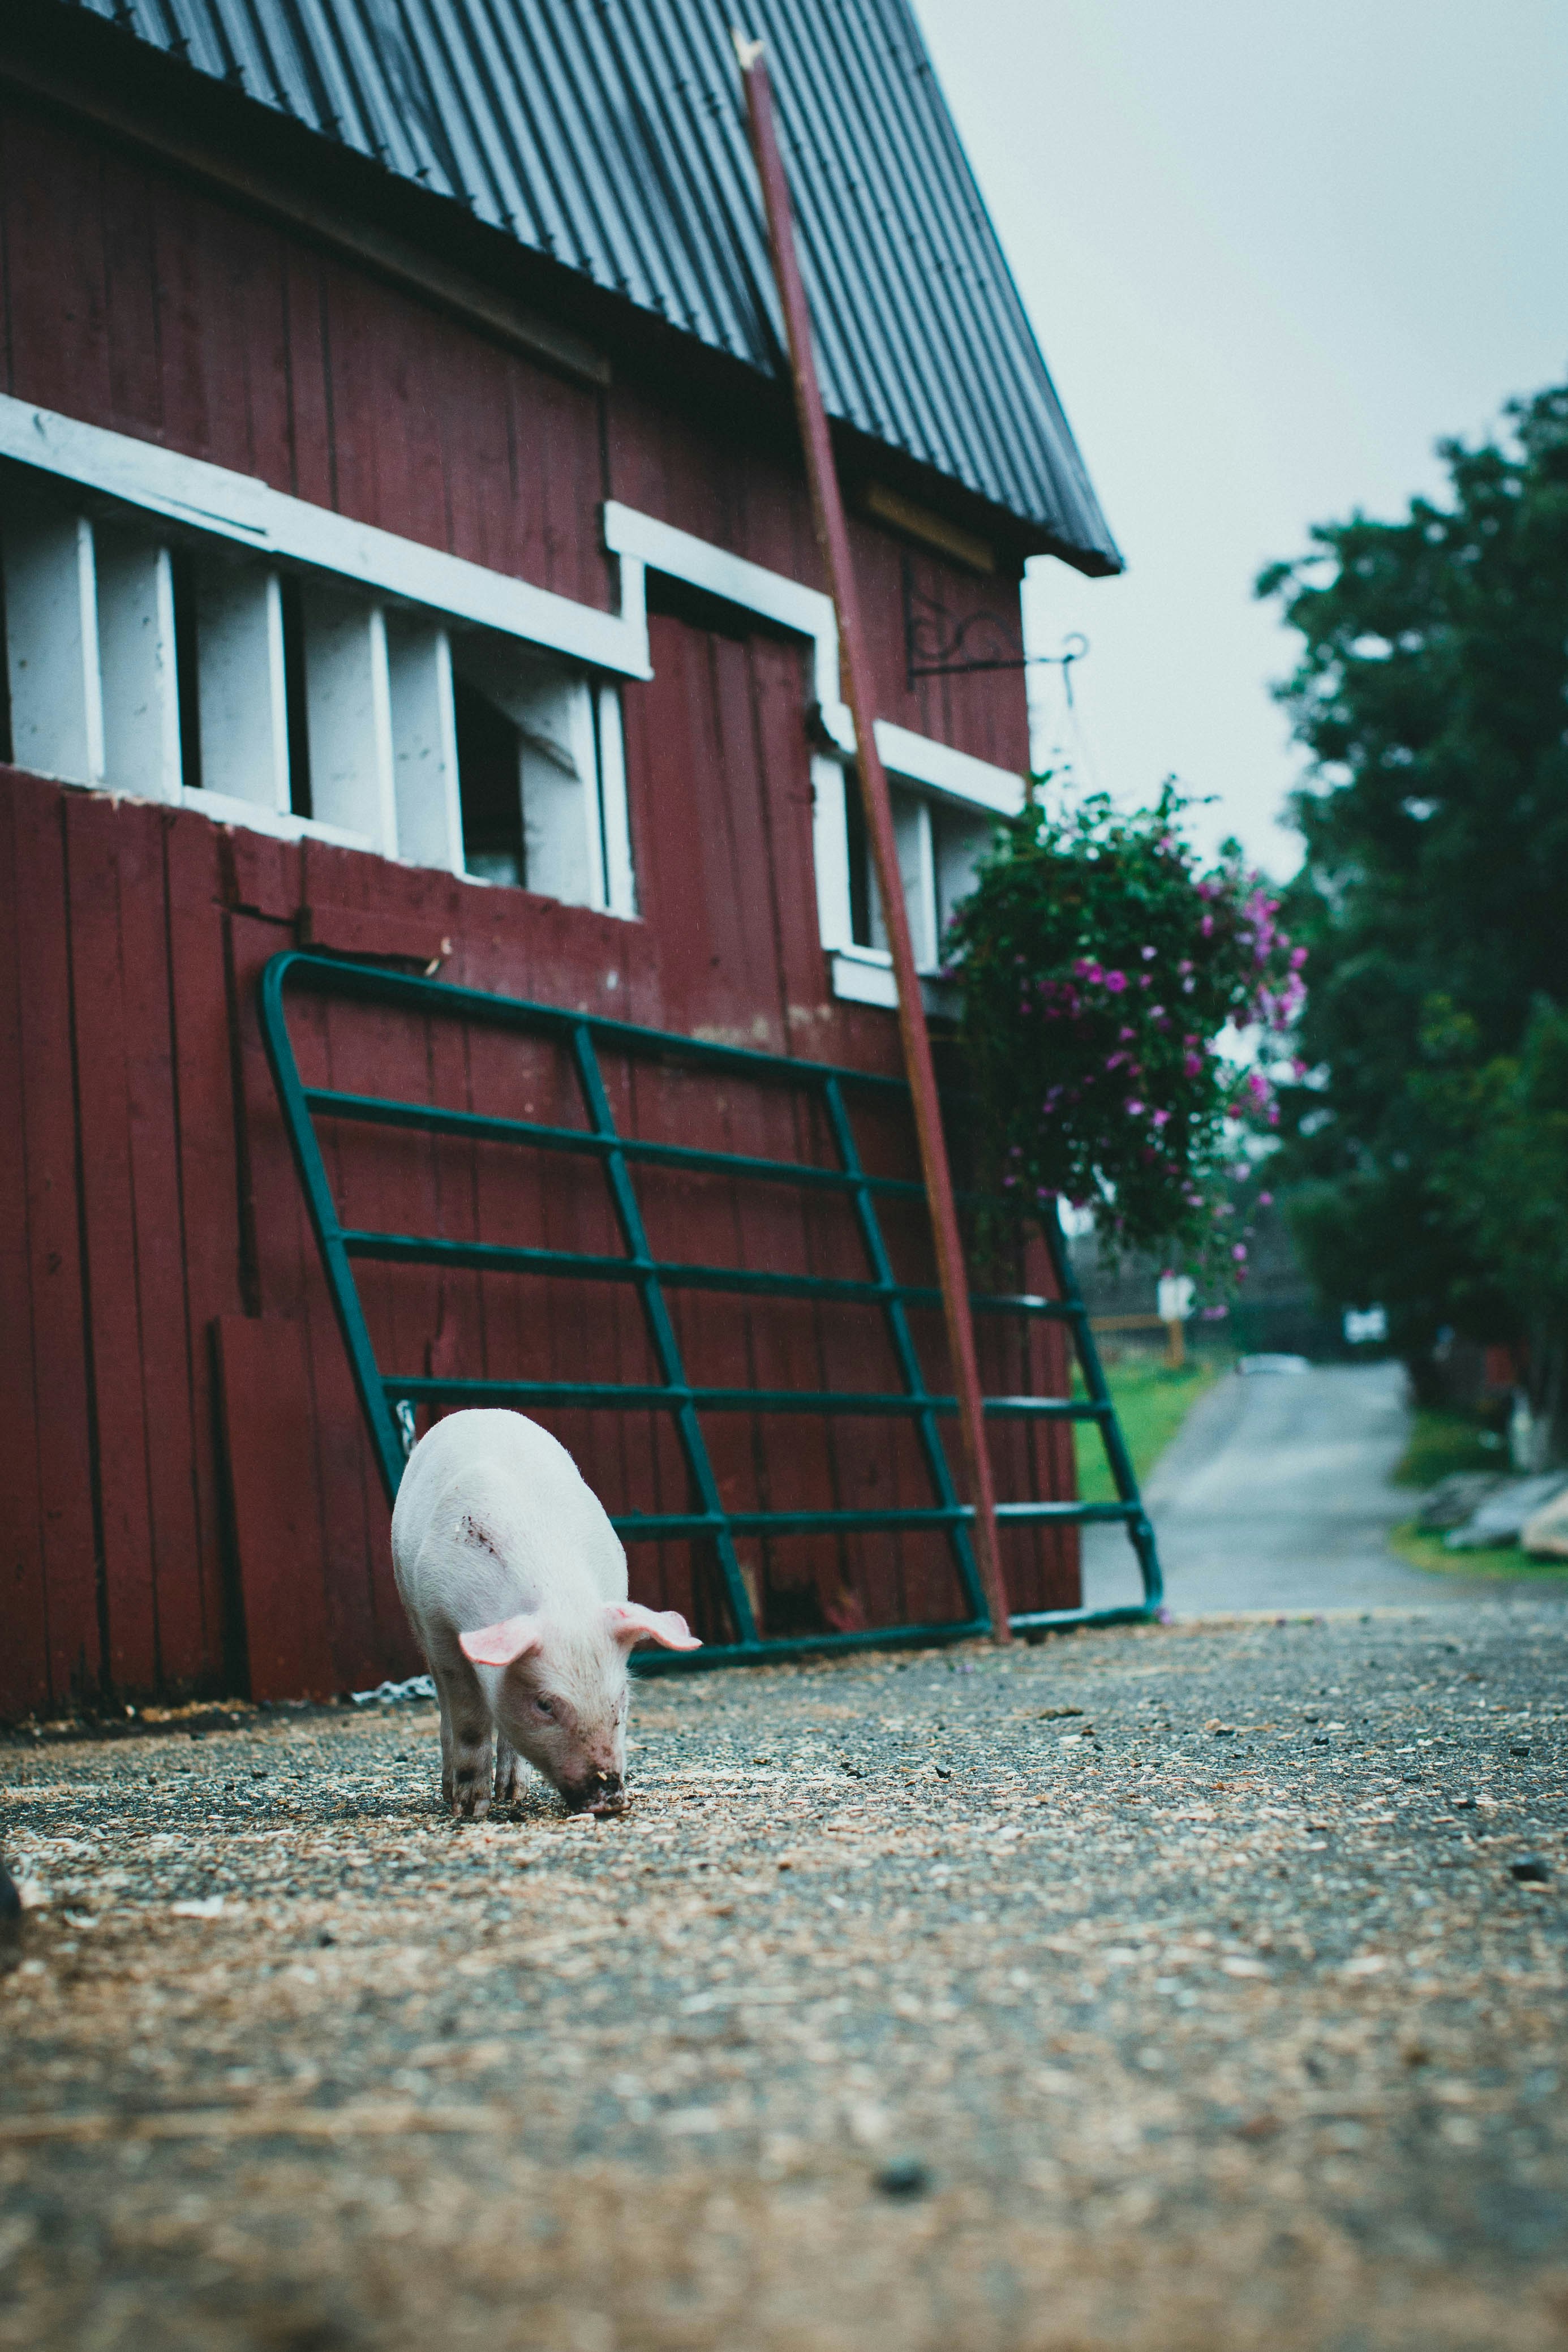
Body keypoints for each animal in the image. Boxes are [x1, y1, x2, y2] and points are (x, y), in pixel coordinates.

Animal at [391, 1409, 699, 1817]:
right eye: (544, 1705)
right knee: (445, 1710)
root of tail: (480, 1411)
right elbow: (469, 1721)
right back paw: (451, 1793)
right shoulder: (438, 1620)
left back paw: (512, 1794)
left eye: (620, 1699)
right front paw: (470, 1810)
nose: (609, 1801)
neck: (559, 1596)